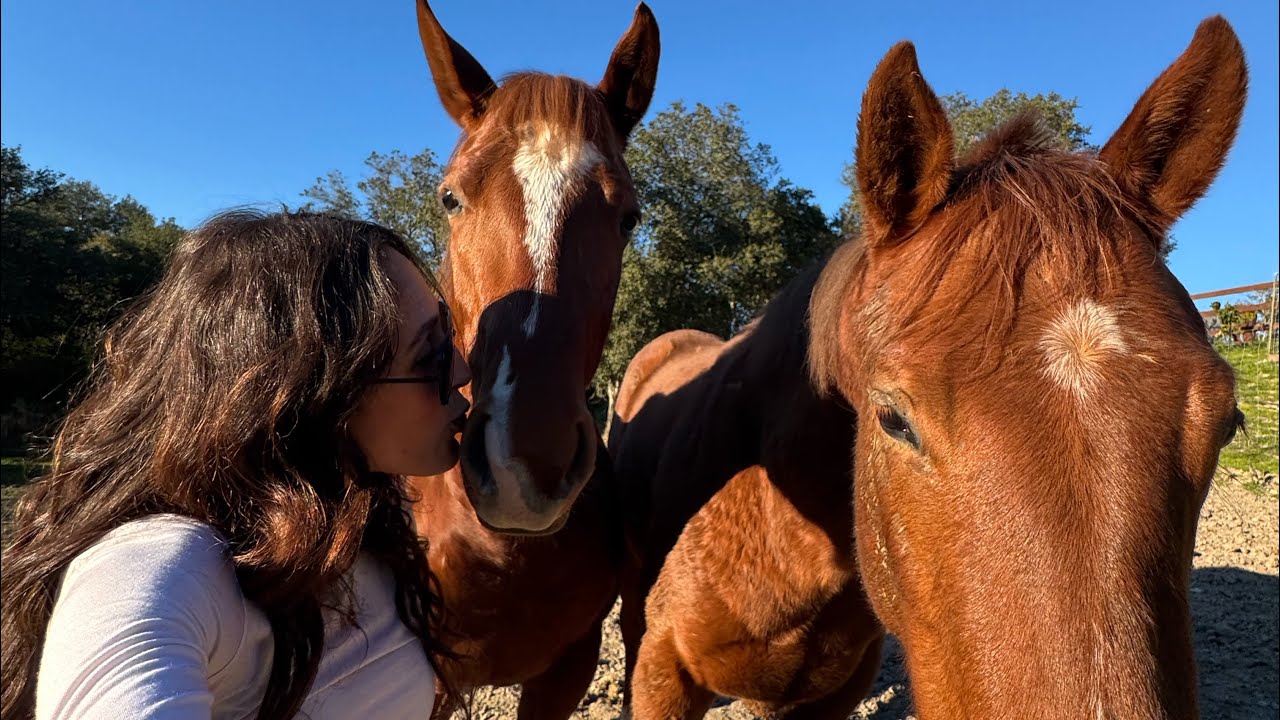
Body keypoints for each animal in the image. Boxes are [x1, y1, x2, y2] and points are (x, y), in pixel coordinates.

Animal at [406, 2, 659, 717]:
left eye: (630, 216)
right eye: (450, 198)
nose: (523, 468)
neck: (498, 553)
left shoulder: (568, 668)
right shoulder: (431, 681)